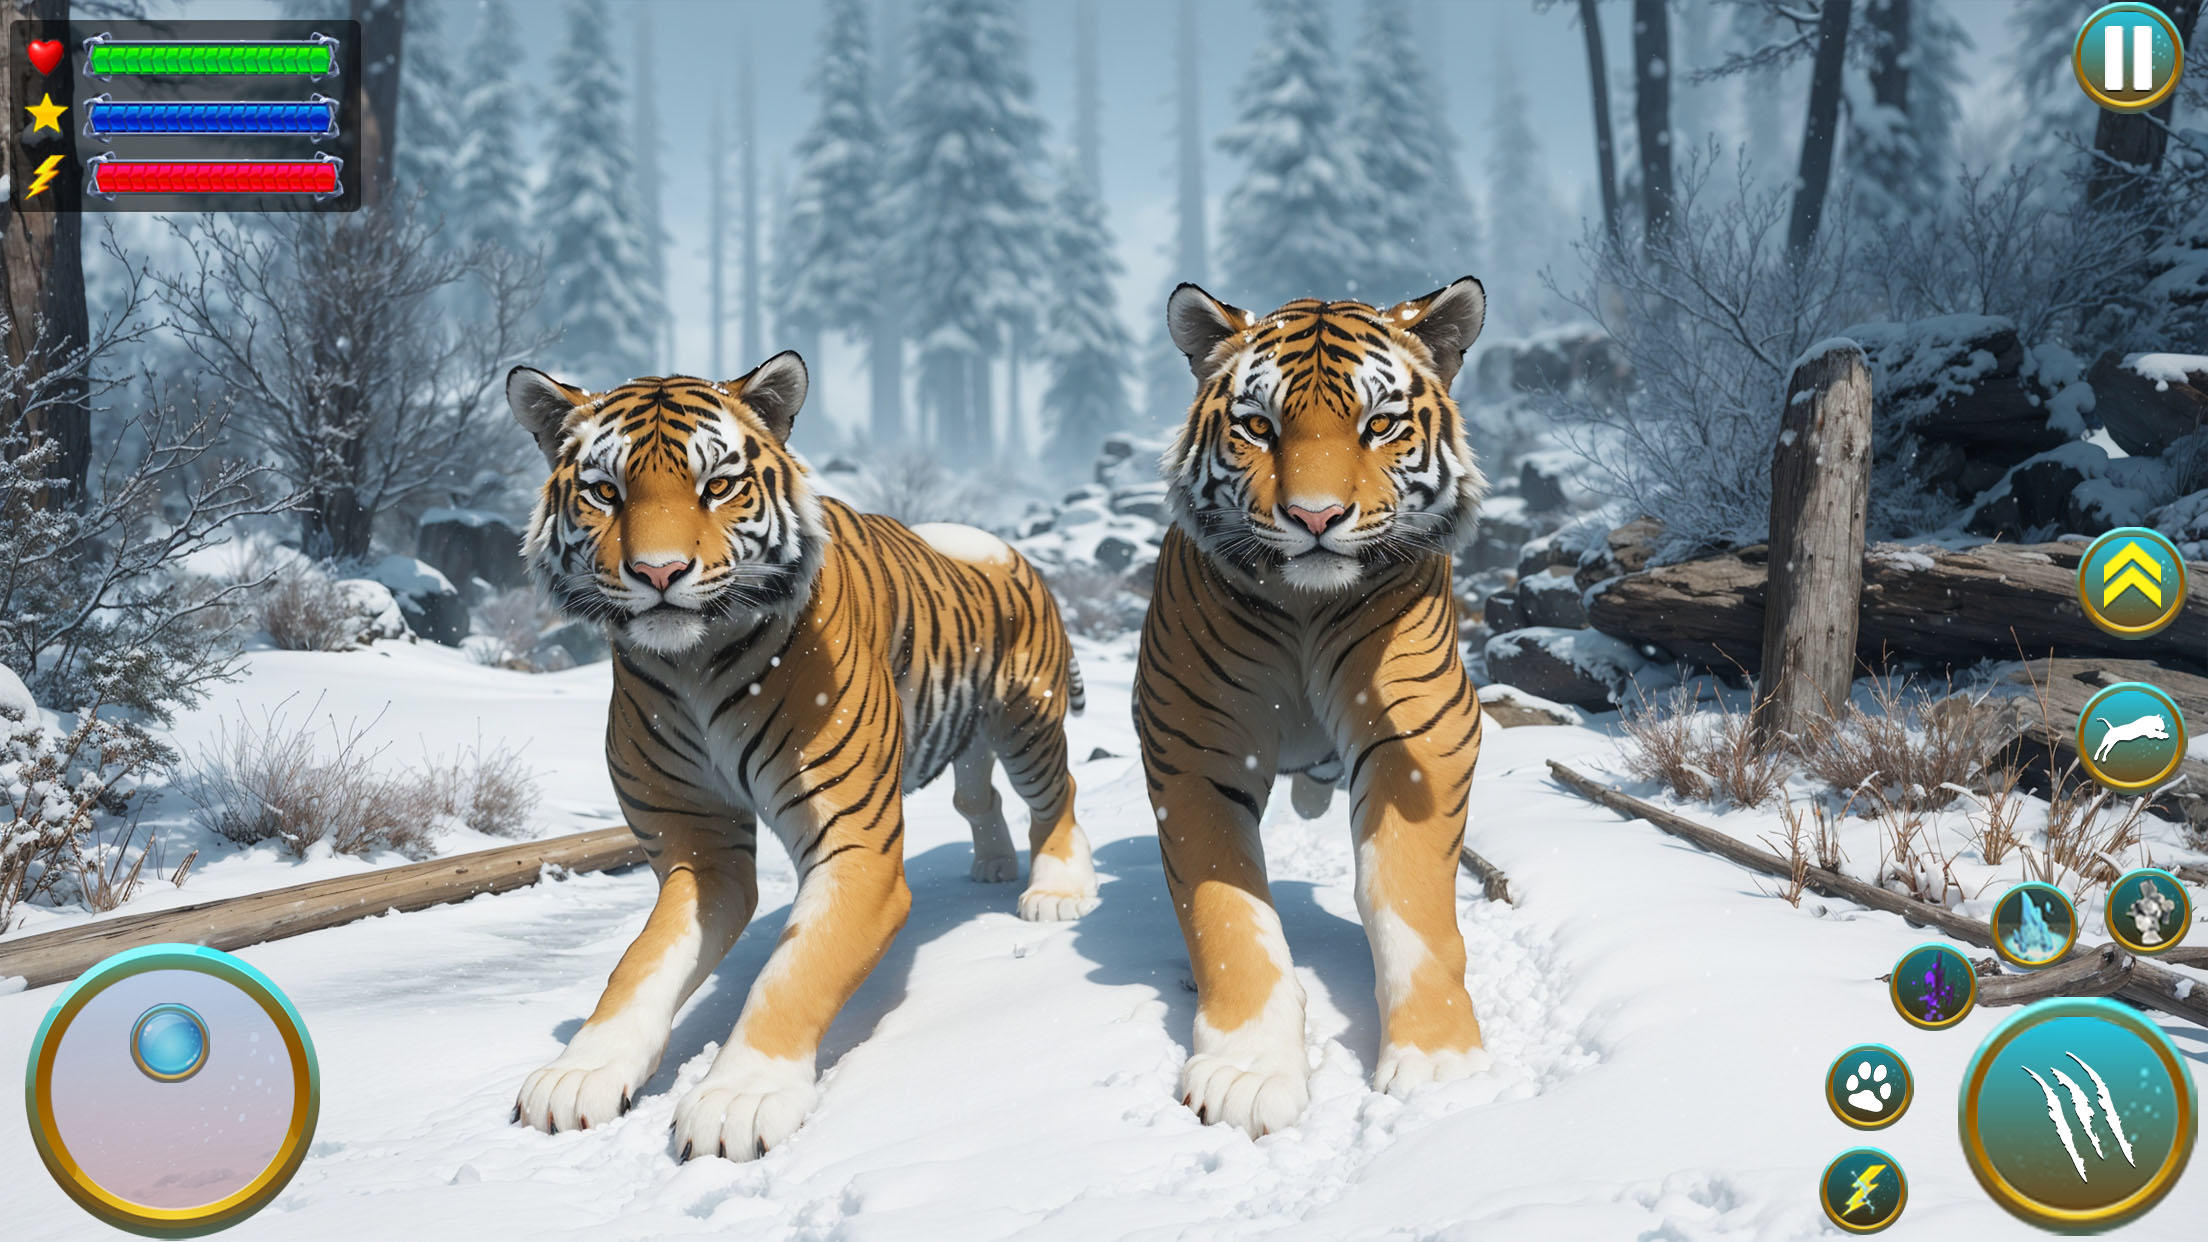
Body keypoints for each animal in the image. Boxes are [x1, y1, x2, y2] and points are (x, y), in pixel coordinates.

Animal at [503, 352, 1097, 1162]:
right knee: (980, 795)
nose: (658, 573)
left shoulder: (855, 848)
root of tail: (992, 541)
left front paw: (737, 1098)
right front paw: (580, 1072)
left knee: (1055, 794)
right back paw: (993, 867)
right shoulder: (699, 850)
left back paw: (1055, 891)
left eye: (717, 485)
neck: (695, 662)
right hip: (971, 730)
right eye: (605, 491)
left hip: (1026, 716)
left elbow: (792, 973)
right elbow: (641, 964)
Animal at [1135, 278, 1492, 1138]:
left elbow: (1408, 901)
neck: (1304, 603)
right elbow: (1230, 912)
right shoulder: (1194, 747)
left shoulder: (1421, 734)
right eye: (1259, 427)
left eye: (1380, 424)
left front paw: (1441, 1068)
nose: (1316, 519)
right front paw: (1246, 1074)